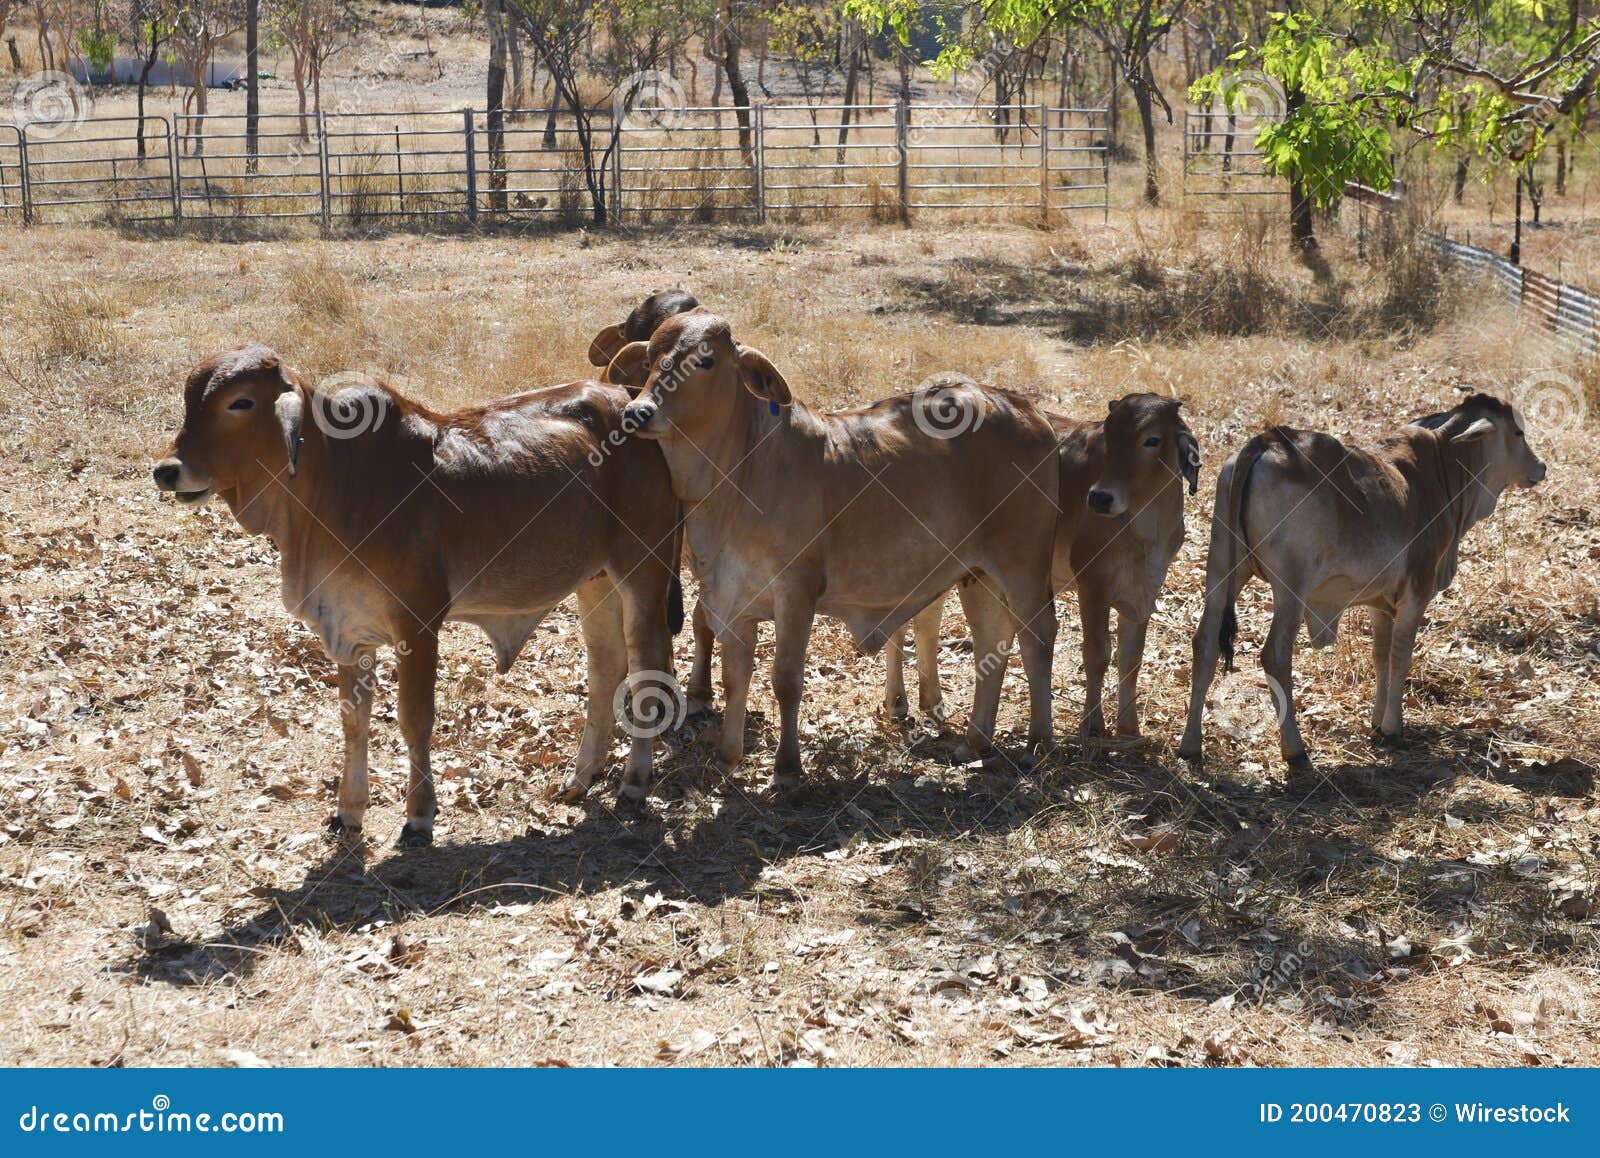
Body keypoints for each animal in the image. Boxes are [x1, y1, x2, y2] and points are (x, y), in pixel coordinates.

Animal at [152, 344, 683, 845]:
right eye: (190, 401)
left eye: (240, 402)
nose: (167, 471)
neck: (333, 486)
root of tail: (625, 400)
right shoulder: (349, 627)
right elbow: (354, 720)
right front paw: (349, 811)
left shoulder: (418, 623)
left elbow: (414, 719)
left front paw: (419, 817)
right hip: (596, 581)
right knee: (606, 667)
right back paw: (580, 778)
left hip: (643, 571)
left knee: (645, 668)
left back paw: (633, 782)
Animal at [607, 312, 1061, 789]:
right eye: (650, 359)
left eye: (706, 361)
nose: (638, 411)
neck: (739, 472)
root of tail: (1025, 407)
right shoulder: (732, 599)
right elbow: (736, 678)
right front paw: (728, 756)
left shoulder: (796, 592)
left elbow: (785, 680)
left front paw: (787, 769)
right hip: (979, 575)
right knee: (993, 641)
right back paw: (975, 741)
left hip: (1024, 564)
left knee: (1037, 637)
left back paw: (1037, 743)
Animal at [884, 393, 1200, 739]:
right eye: (1107, 436)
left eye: (1152, 440)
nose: (1100, 498)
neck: (1146, 523)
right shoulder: (1093, 582)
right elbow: (1097, 653)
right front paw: (1092, 725)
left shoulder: (1145, 588)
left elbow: (1131, 658)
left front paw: (1129, 728)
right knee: (899, 625)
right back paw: (898, 703)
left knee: (926, 620)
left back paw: (932, 702)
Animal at [1178, 393, 1546, 769]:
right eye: (1518, 432)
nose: (1540, 466)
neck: (1443, 467)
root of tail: (1267, 440)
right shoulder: (1416, 591)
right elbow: (1400, 656)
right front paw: (1393, 728)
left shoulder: (1380, 602)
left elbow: (1380, 656)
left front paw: (1376, 722)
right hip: (1290, 591)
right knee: (1275, 656)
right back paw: (1295, 751)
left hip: (1222, 571)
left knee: (1205, 645)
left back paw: (1191, 745)